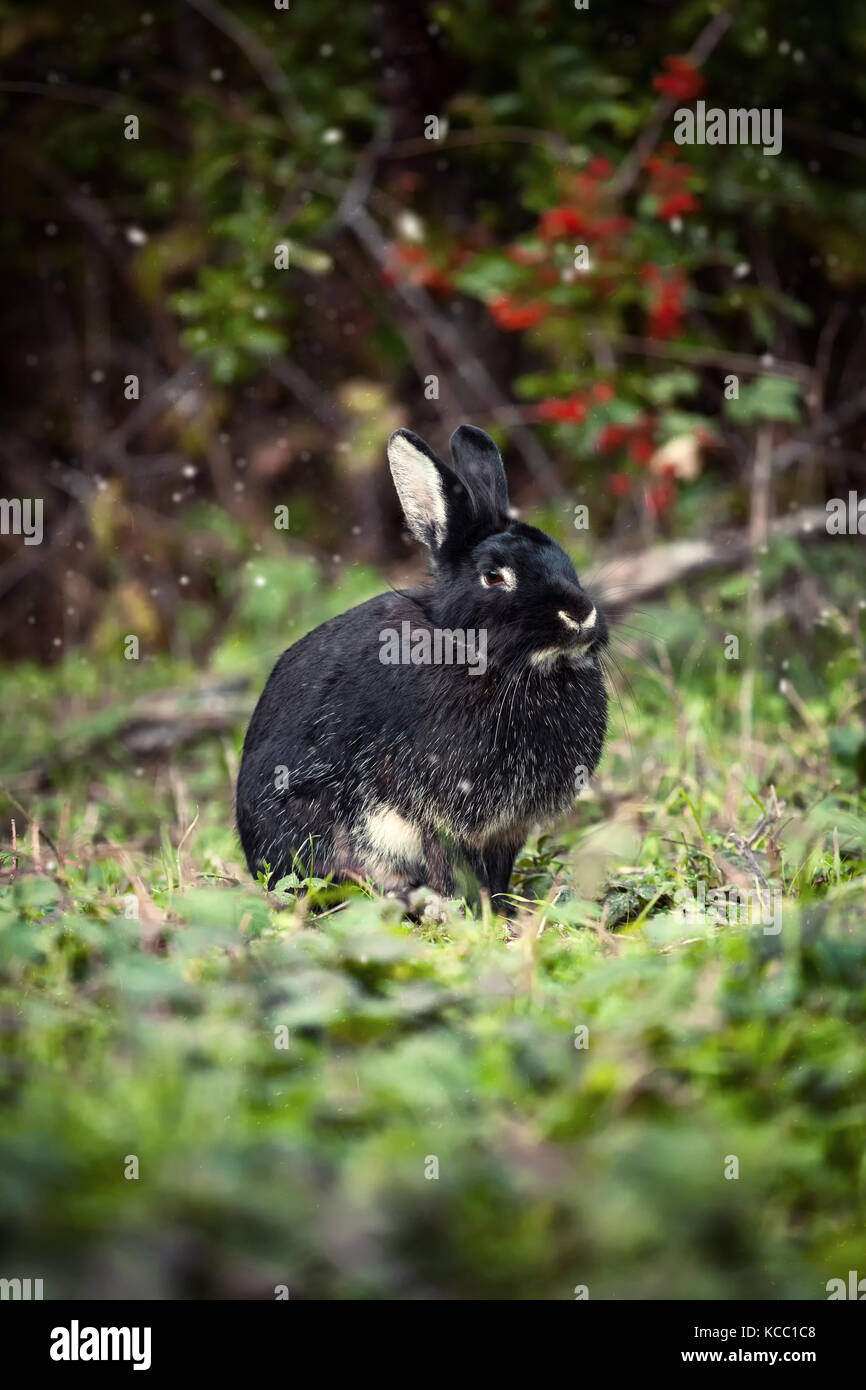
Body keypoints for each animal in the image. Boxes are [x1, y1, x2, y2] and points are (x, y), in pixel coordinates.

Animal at [236, 424, 608, 906]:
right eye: (494, 576)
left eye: (564, 558)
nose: (579, 613)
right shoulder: (434, 814)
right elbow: (447, 864)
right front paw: (470, 909)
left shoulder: (505, 830)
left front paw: (501, 909)